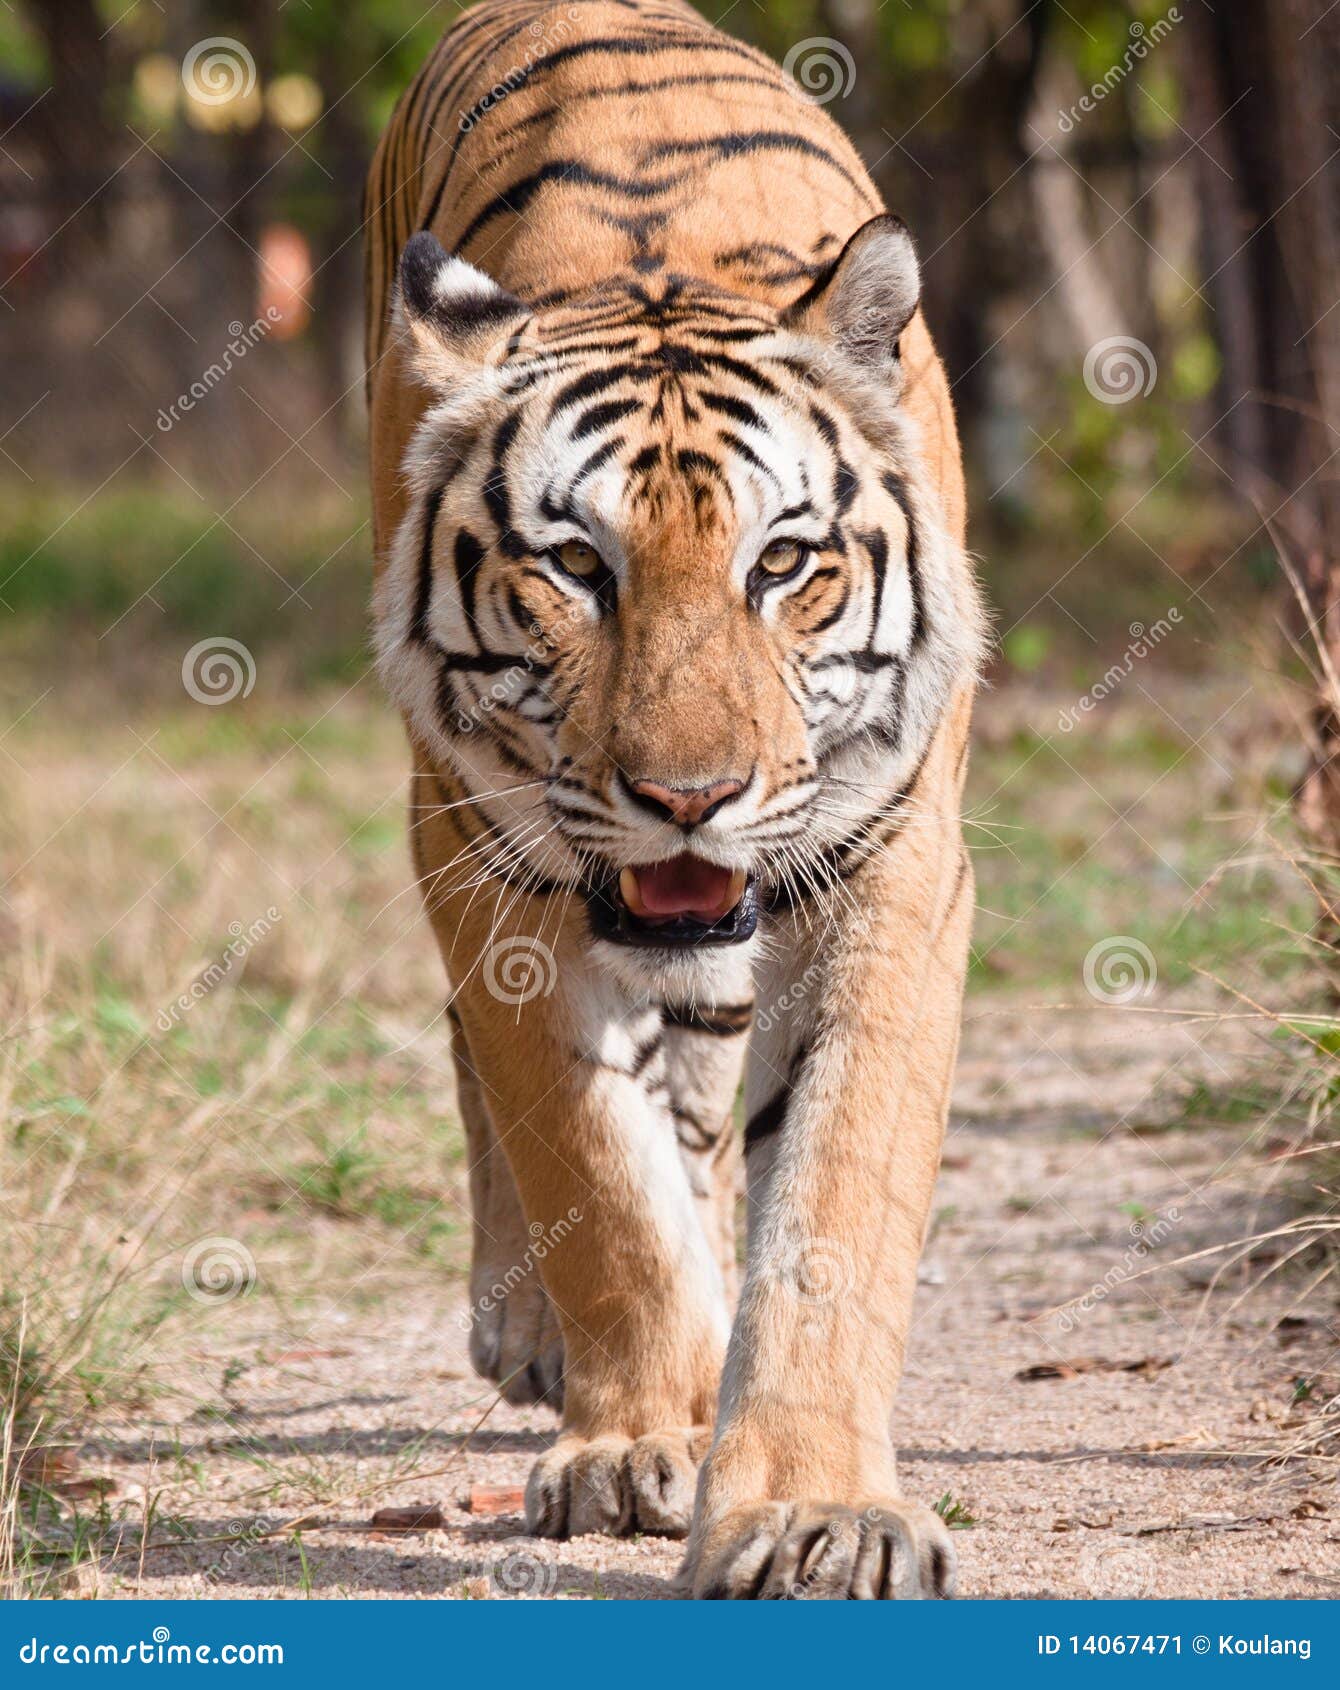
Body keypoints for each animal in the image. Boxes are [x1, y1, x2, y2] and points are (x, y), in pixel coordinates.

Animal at [365, 0, 983, 1599]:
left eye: (783, 562)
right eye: (579, 566)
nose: (688, 796)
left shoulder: (895, 871)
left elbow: (833, 1197)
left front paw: (819, 1512)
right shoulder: (485, 864)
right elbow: (595, 1173)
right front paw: (635, 1433)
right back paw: (543, 1339)